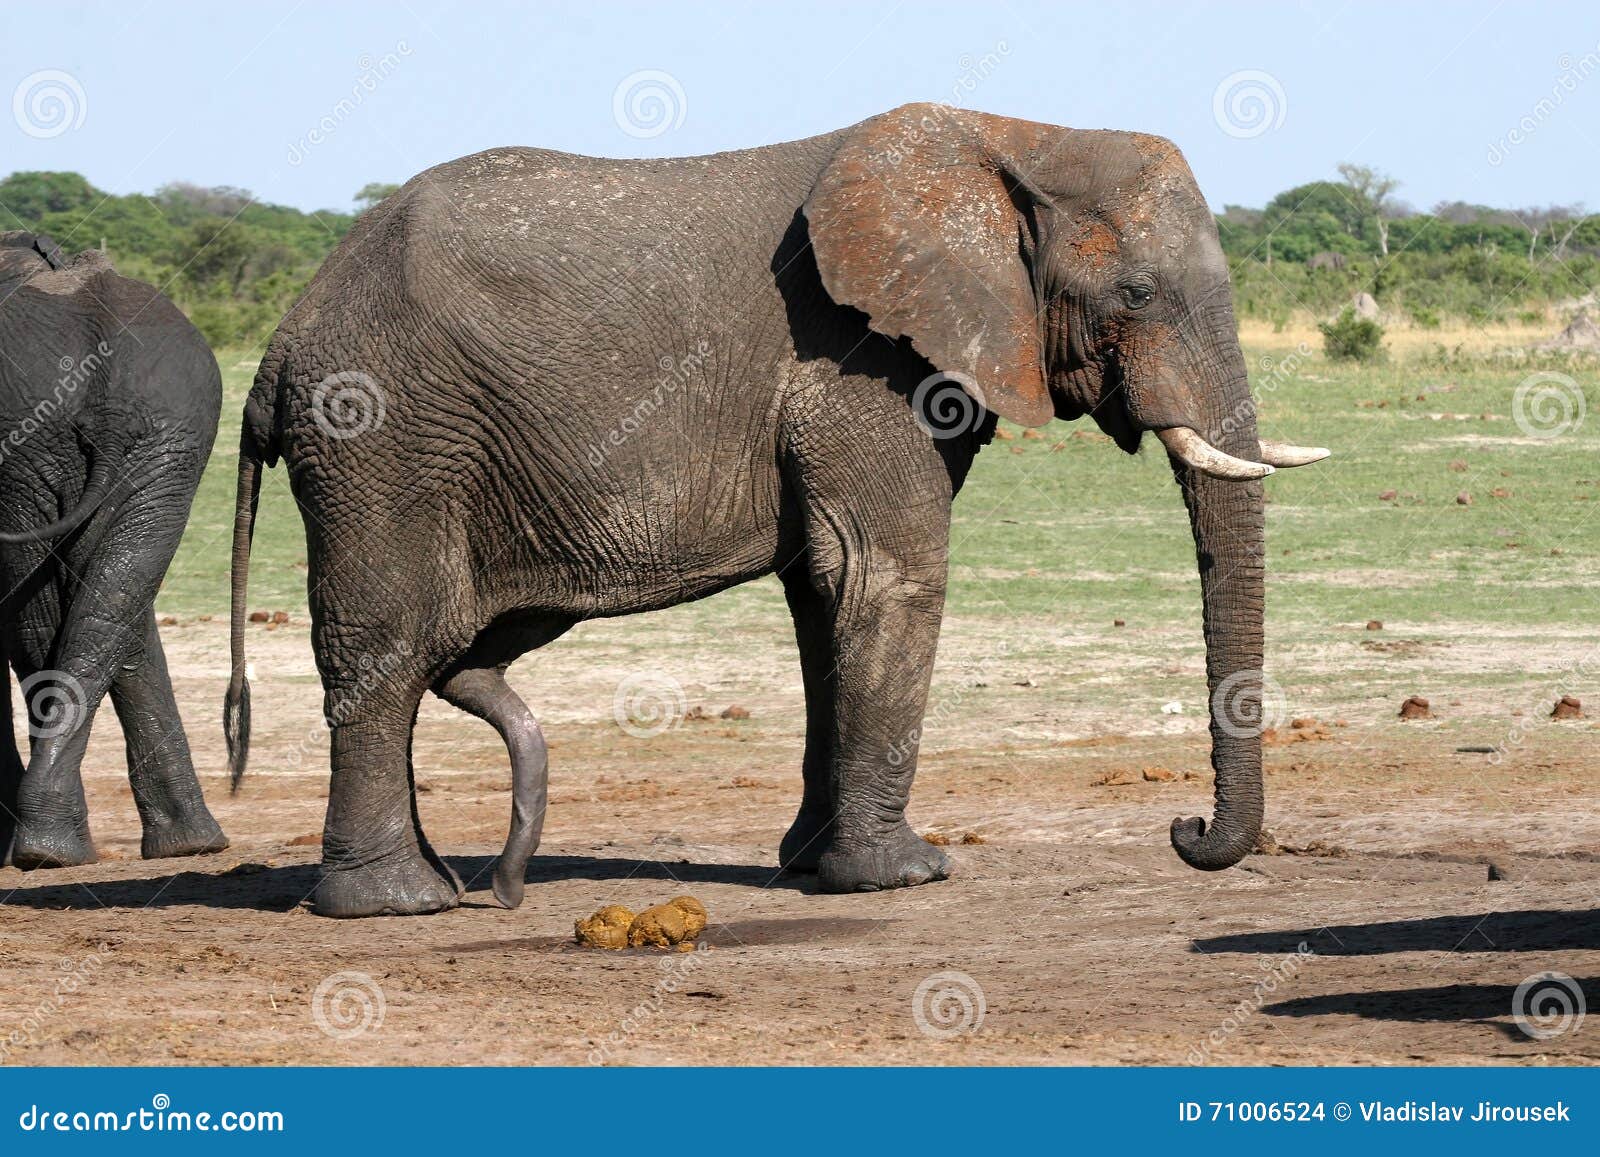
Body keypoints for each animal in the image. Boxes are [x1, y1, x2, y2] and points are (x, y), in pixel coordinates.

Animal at [0, 231, 228, 868]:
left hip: (33, 441)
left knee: (36, 618)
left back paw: (45, 851)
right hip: (169, 440)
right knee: (111, 603)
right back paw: (188, 845)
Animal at [225, 103, 1326, 918]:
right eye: (1135, 292)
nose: (1184, 831)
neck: (1014, 136)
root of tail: (279, 349)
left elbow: (822, 595)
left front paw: (809, 863)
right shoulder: (857, 360)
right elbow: (888, 572)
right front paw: (903, 875)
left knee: (419, 657)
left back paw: (450, 884)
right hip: (382, 435)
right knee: (388, 641)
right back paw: (397, 901)